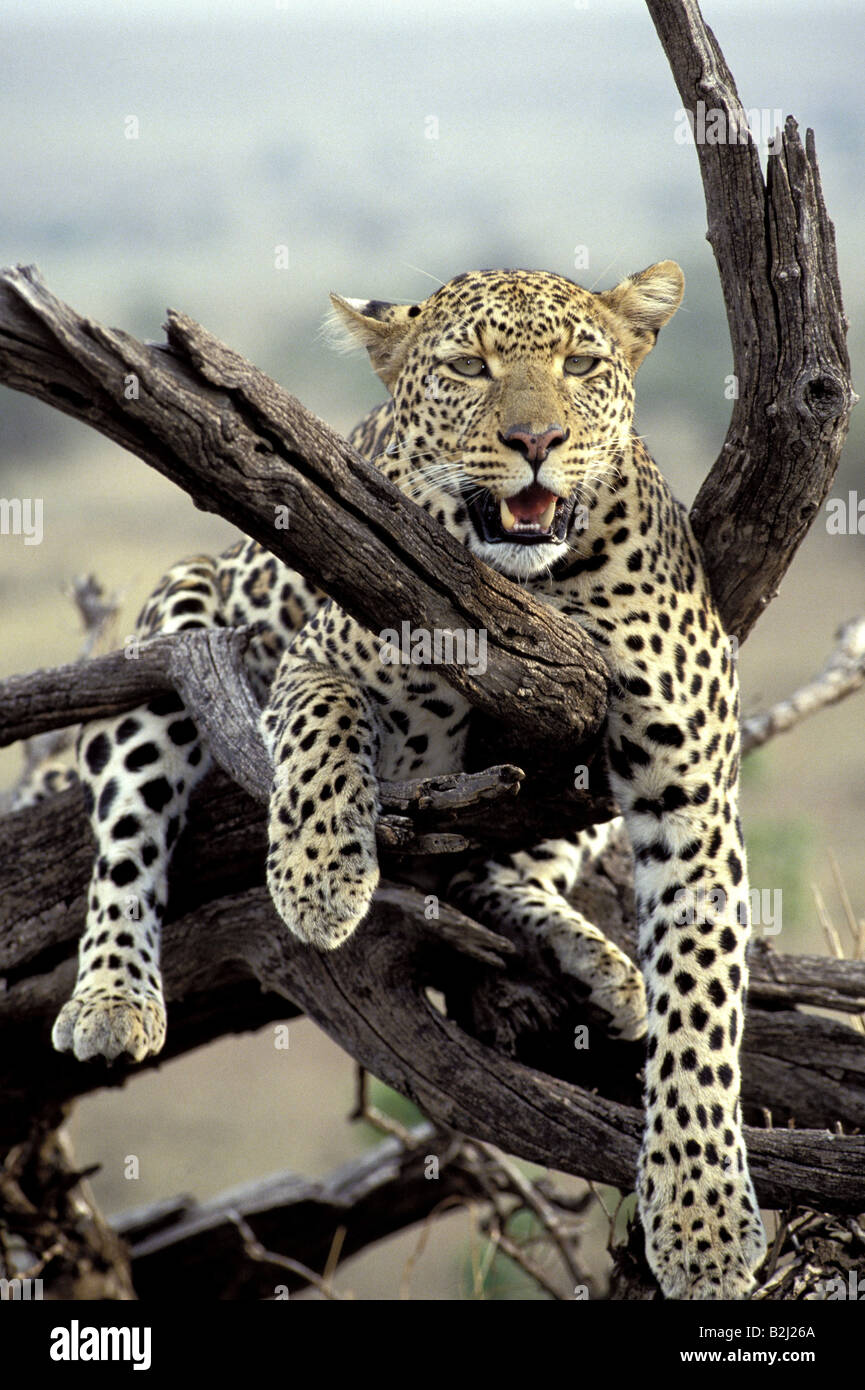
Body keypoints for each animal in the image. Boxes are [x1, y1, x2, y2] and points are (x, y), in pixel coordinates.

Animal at [51, 261, 767, 1300]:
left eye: (581, 365)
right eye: (469, 369)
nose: (535, 442)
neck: (537, 589)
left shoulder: (690, 783)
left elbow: (704, 1007)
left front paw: (700, 1219)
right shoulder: (319, 657)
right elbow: (329, 725)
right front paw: (319, 882)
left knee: (483, 868)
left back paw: (598, 963)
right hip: (178, 621)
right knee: (126, 841)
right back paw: (113, 998)